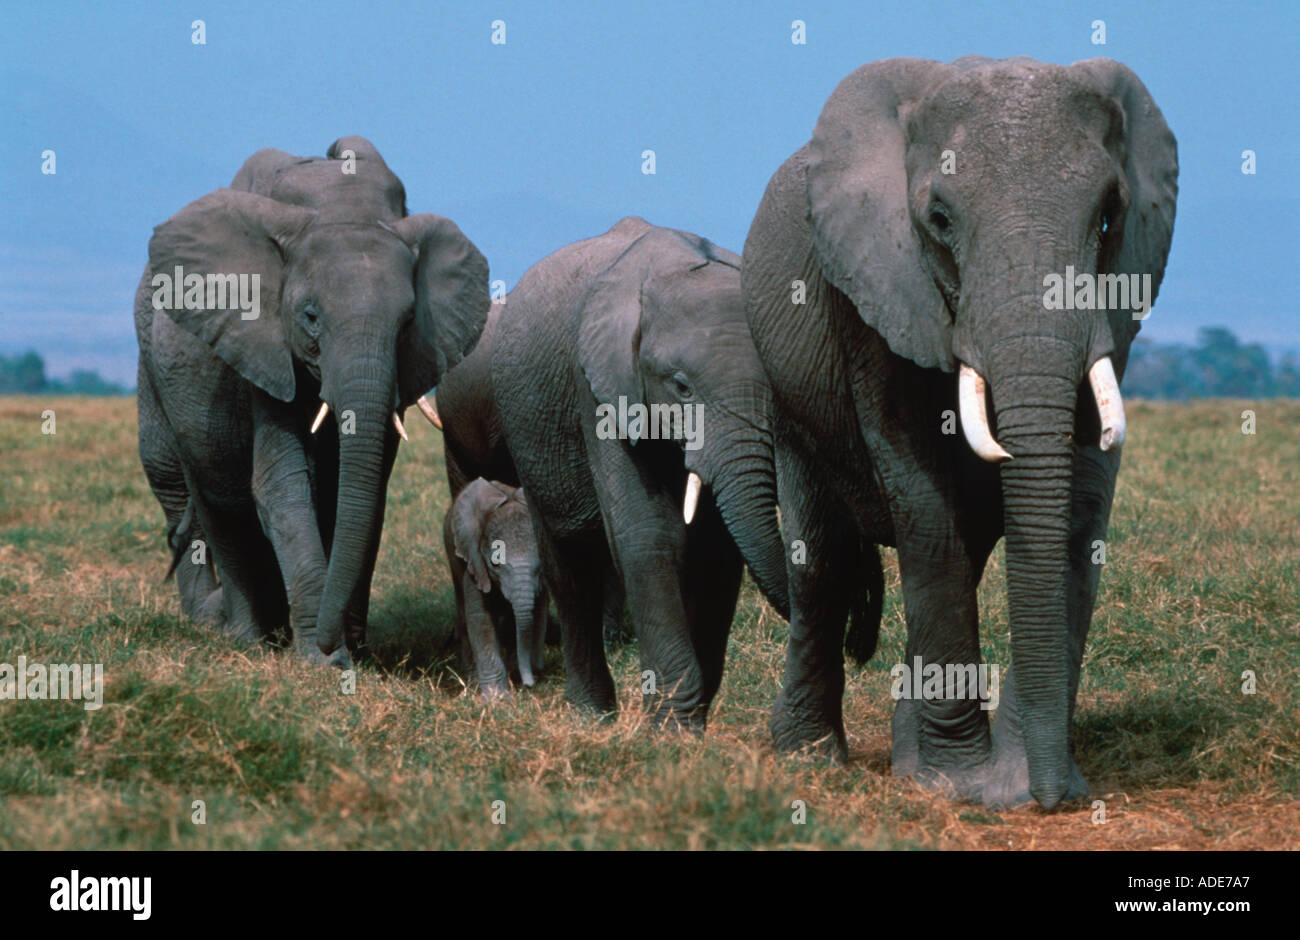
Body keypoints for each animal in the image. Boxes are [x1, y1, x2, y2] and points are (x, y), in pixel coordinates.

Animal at [135, 136, 490, 666]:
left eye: (408, 322)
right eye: (310, 317)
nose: (332, 641)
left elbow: (363, 491)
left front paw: (349, 650)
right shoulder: (261, 345)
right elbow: (280, 486)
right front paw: (325, 663)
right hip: (155, 370)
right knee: (196, 493)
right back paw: (240, 635)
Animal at [445, 478, 548, 696]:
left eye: (541, 564)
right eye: (495, 564)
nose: (530, 683)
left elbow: (536, 613)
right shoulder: (474, 561)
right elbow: (480, 617)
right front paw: (497, 697)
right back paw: (472, 679)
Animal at [492, 217, 792, 729]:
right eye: (682, 387)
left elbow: (717, 551)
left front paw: (692, 723)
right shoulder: (597, 386)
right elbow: (649, 534)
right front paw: (671, 725)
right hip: (528, 438)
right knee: (568, 566)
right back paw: (592, 716)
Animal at [741, 57, 1177, 809]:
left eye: (1107, 216)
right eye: (940, 220)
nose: (1050, 799)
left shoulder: (1113, 304)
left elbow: (1080, 504)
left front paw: (1003, 785)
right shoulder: (876, 289)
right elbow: (921, 497)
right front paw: (955, 781)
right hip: (786, 391)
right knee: (821, 561)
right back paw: (811, 756)